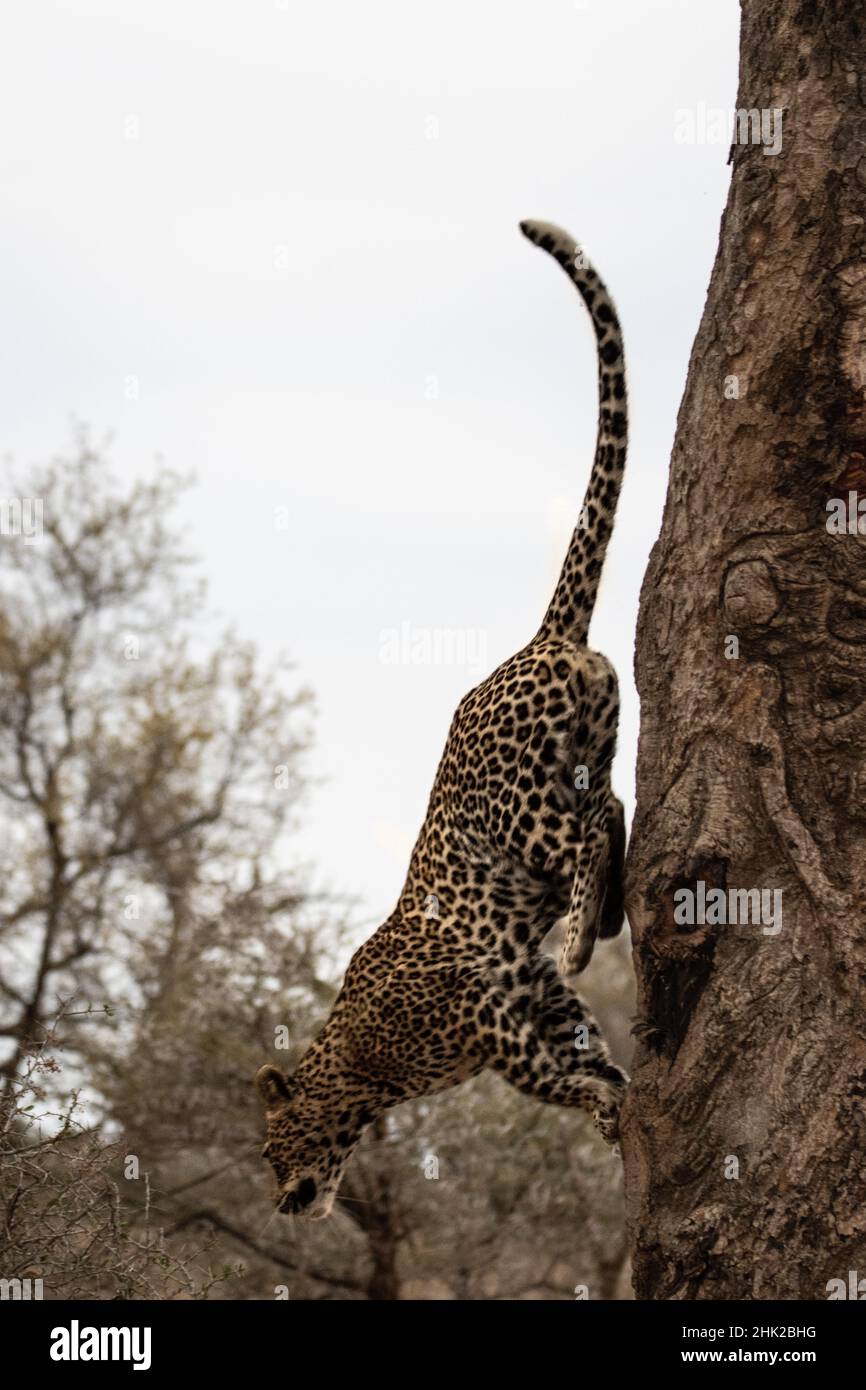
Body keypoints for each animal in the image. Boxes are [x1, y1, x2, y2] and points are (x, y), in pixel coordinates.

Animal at [257, 219, 629, 1220]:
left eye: (268, 1151)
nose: (279, 1202)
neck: (356, 1070)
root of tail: (539, 641)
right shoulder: (528, 1003)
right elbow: (588, 1050)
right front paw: (618, 1094)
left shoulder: (493, 1023)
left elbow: (553, 1084)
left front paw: (605, 1110)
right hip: (591, 740)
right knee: (612, 809)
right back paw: (606, 920)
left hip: (528, 811)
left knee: (596, 824)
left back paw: (587, 930)